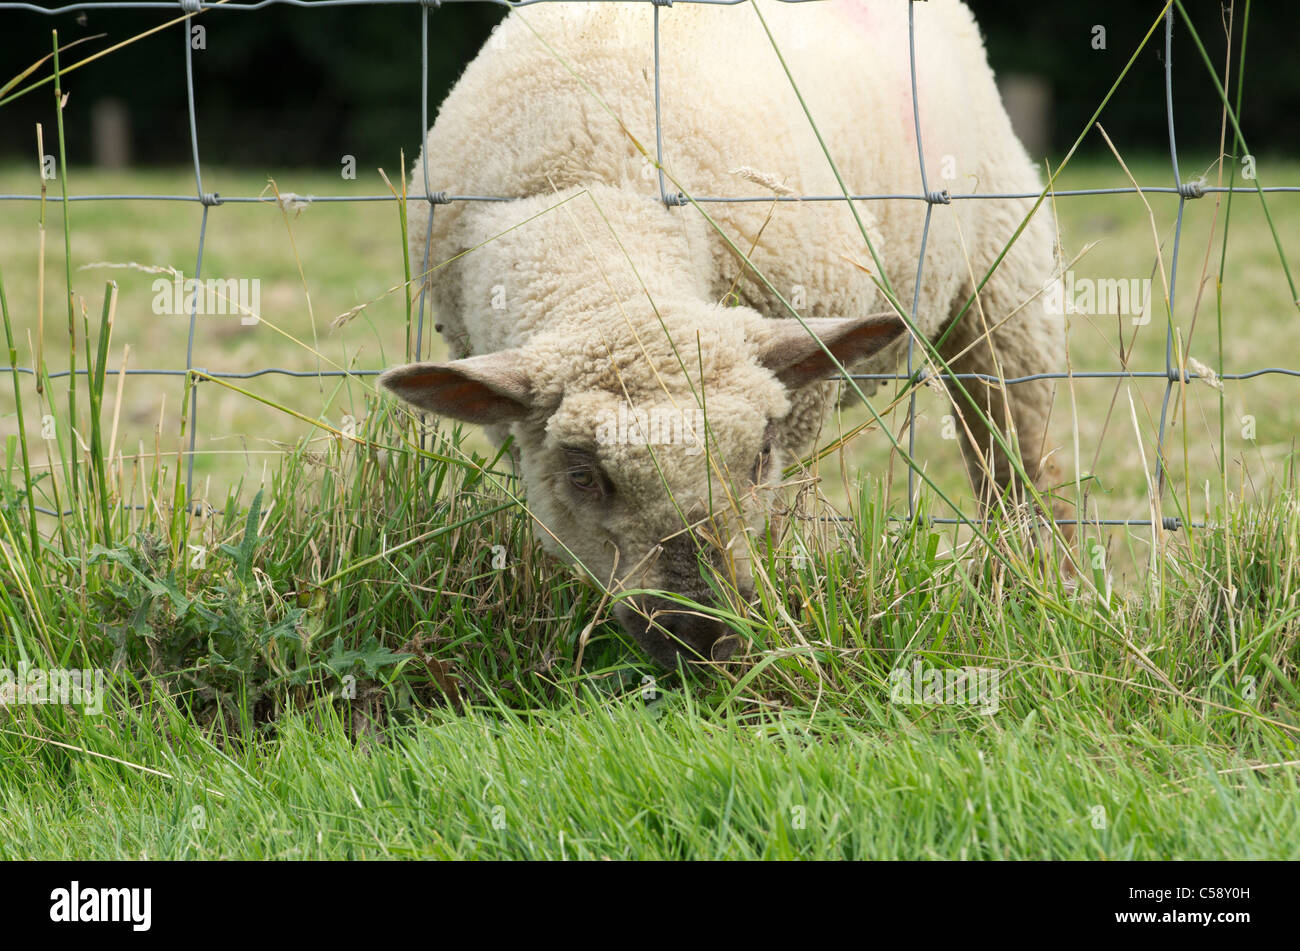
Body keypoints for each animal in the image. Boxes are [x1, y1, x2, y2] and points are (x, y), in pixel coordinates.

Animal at [380, 0, 1066, 668]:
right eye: (581, 475)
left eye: (760, 453)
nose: (703, 637)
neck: (588, 189)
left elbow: (778, 515)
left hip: (1005, 286)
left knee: (1018, 460)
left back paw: (1038, 590)